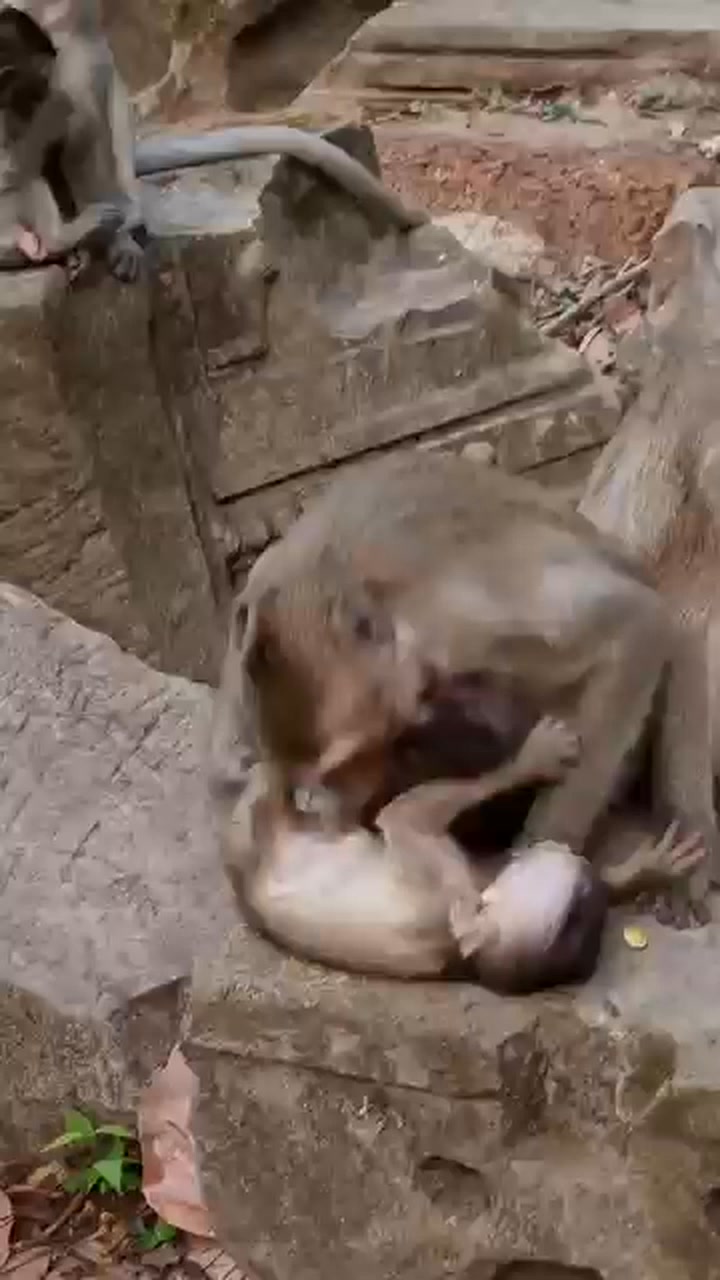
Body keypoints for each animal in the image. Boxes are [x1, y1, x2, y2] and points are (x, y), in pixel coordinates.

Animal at [222, 450, 718, 930]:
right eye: (333, 773)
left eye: (350, 760)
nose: (338, 812)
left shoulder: (455, 628)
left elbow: (638, 624)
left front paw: (537, 863)